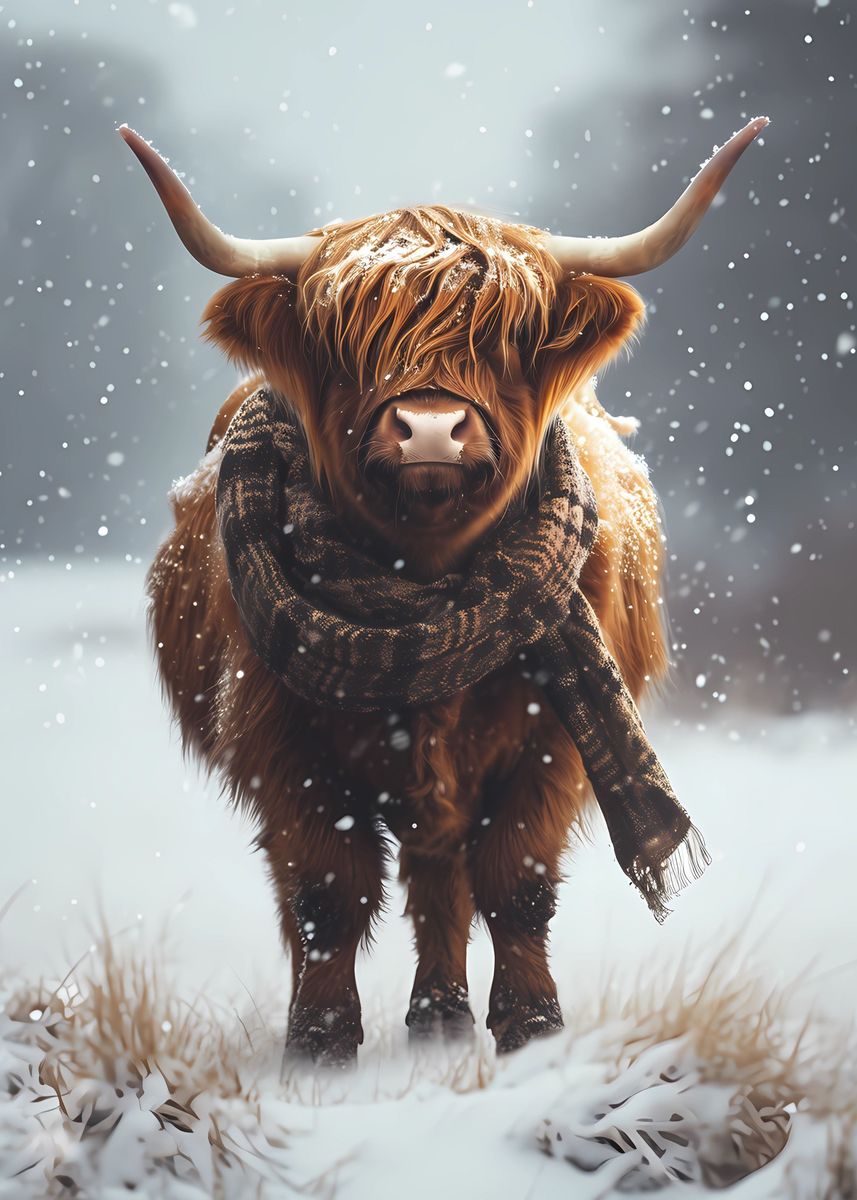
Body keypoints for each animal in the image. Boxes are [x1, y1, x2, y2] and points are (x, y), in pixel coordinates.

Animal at [120, 119, 766, 1065]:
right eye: (346, 340)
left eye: (507, 336)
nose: (430, 429)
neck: (425, 598)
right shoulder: (285, 744)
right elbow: (325, 889)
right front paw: (319, 1039)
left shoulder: (549, 745)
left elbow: (514, 879)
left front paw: (531, 1022)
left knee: (442, 874)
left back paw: (440, 1014)